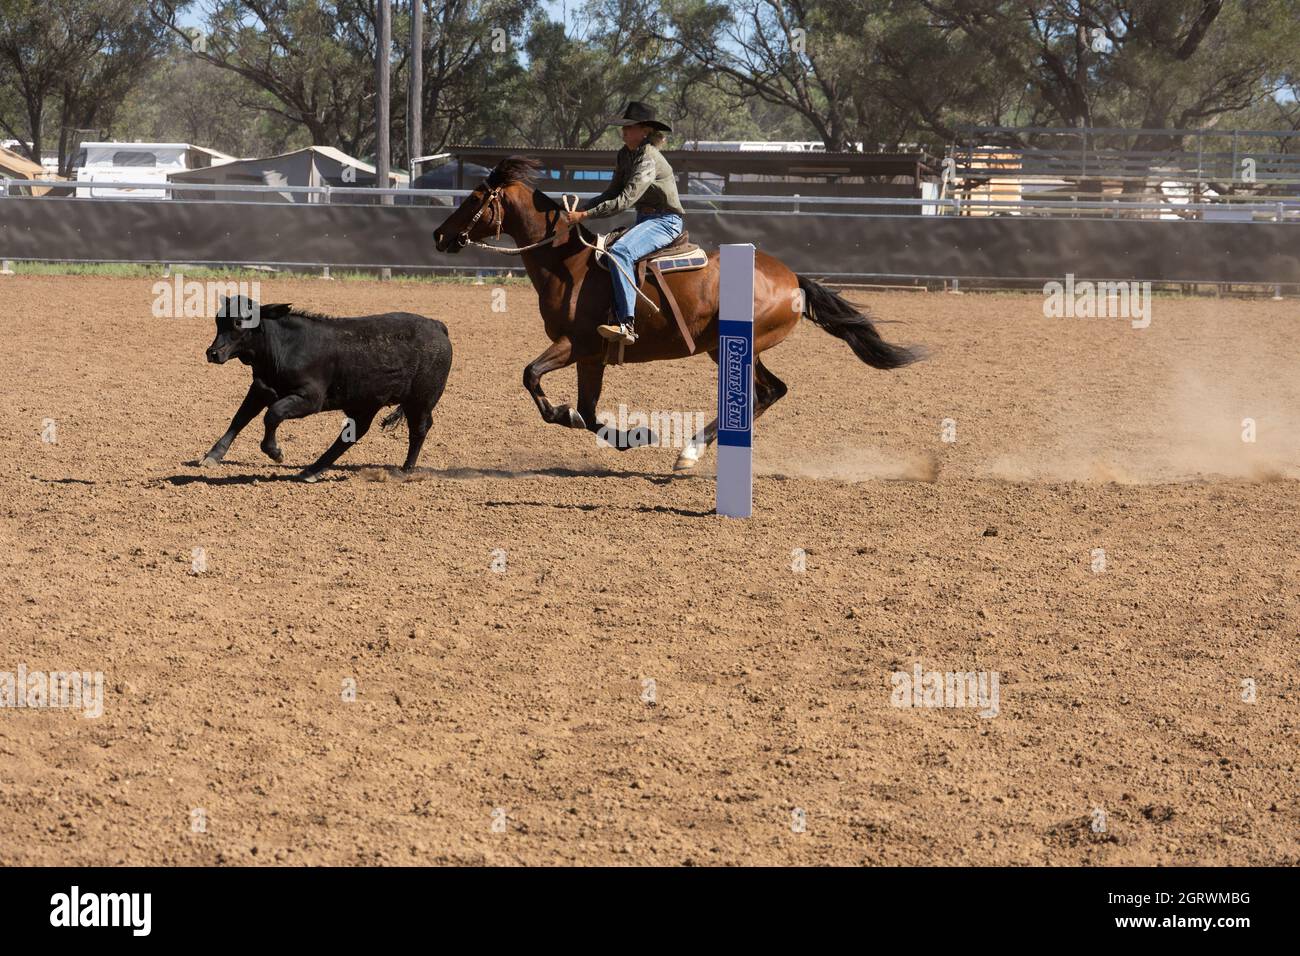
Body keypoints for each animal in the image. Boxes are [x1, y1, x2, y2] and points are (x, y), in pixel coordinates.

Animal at [201, 296, 452, 482]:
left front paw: (274, 452)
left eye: (238, 322)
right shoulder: (261, 388)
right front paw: (213, 455)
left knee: (418, 430)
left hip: (420, 400)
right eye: (218, 320)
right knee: (356, 432)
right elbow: (240, 418)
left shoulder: (310, 399)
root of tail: (437, 326)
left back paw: (405, 470)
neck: (286, 346)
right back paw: (312, 470)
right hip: (368, 402)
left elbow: (273, 414)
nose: (213, 352)